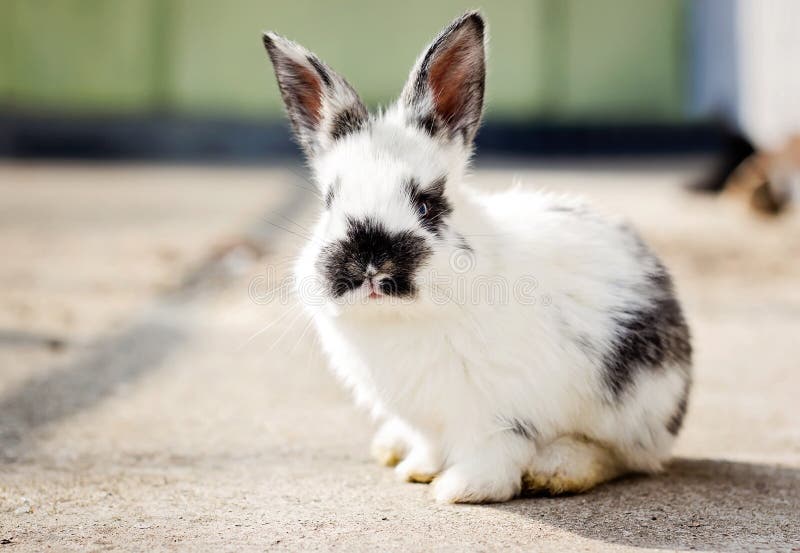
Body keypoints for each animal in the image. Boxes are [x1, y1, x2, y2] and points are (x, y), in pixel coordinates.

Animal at [261, 11, 692, 503]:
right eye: (329, 203)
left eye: (427, 204)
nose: (370, 266)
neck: (403, 319)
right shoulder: (424, 415)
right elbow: (429, 444)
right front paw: (417, 471)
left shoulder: (499, 415)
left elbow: (494, 456)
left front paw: (458, 490)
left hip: (634, 408)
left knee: (620, 456)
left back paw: (558, 470)